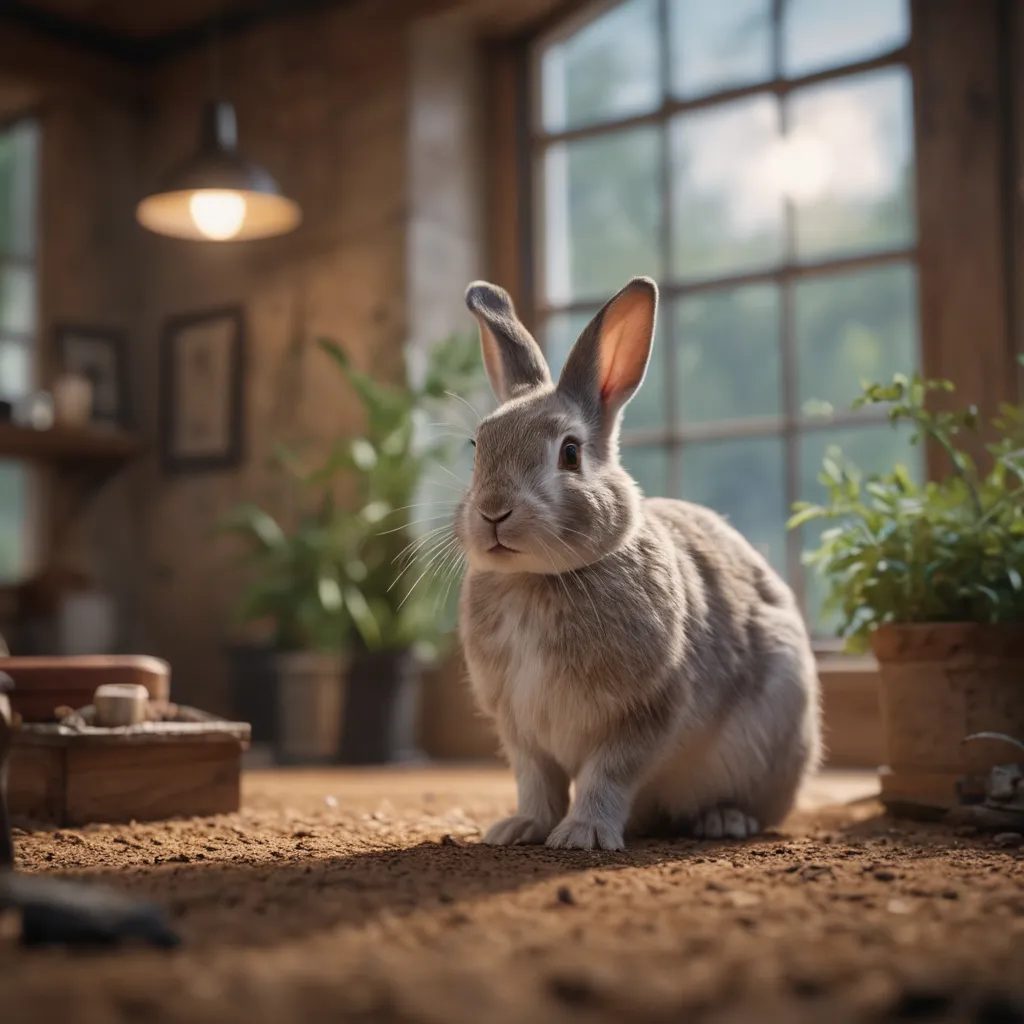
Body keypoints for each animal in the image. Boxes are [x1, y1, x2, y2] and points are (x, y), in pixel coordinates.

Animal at [453, 275, 822, 851]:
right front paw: (520, 829)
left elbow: (608, 775)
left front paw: (580, 835)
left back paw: (723, 820)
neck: (539, 579)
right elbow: (536, 780)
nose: (493, 512)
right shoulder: (520, 729)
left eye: (571, 453)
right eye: (476, 447)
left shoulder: (644, 714)